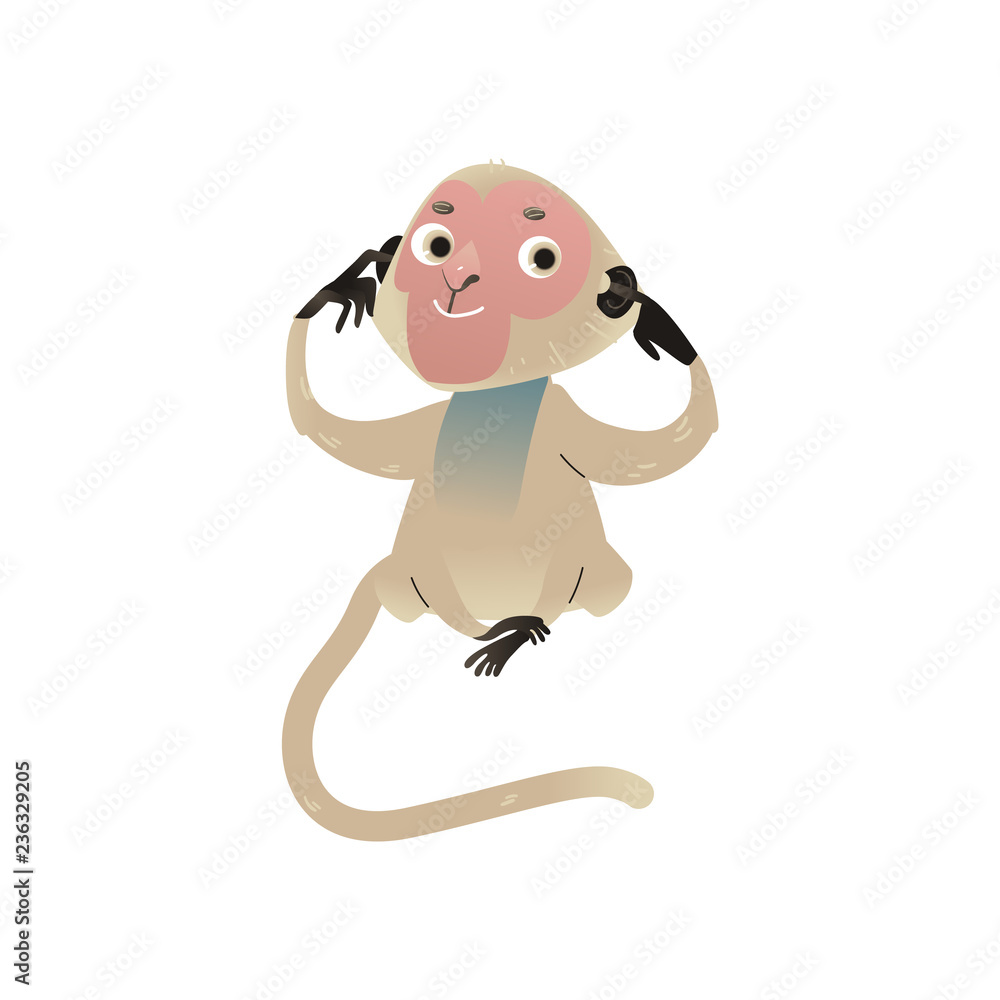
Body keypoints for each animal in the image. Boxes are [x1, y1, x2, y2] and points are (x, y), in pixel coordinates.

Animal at [282, 161, 718, 842]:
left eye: (542, 259)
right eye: (436, 244)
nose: (458, 277)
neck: (495, 403)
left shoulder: (562, 424)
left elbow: (660, 452)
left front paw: (655, 322)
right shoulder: (429, 430)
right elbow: (326, 430)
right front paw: (344, 284)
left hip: (593, 576)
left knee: (602, 583)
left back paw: (517, 627)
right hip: (408, 581)